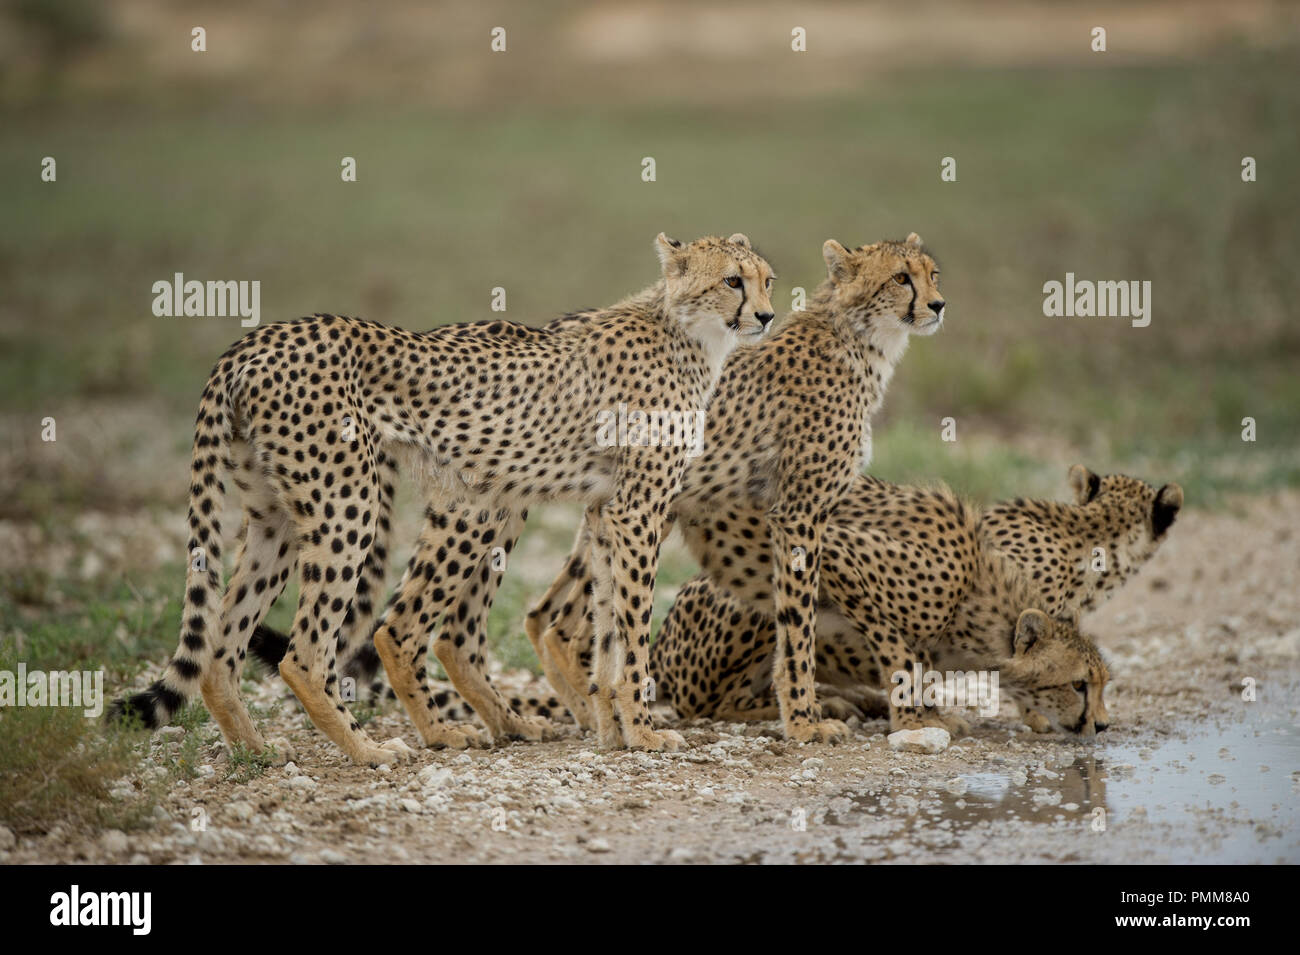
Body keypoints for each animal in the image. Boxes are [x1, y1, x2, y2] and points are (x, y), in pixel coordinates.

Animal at [109, 232, 776, 763]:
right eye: (732, 281)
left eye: (768, 280)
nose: (768, 316)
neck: (688, 335)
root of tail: (259, 338)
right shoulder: (637, 510)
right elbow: (632, 627)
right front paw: (641, 730)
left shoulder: (608, 510)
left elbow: (610, 624)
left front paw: (615, 729)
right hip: (355, 503)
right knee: (319, 649)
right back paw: (371, 749)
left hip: (279, 517)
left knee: (222, 647)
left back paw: (257, 750)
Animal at [648, 465, 1183, 735]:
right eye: (1077, 685)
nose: (1104, 725)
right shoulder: (838, 553)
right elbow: (899, 651)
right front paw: (916, 721)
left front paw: (925, 713)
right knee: (712, 703)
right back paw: (819, 710)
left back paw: (849, 699)